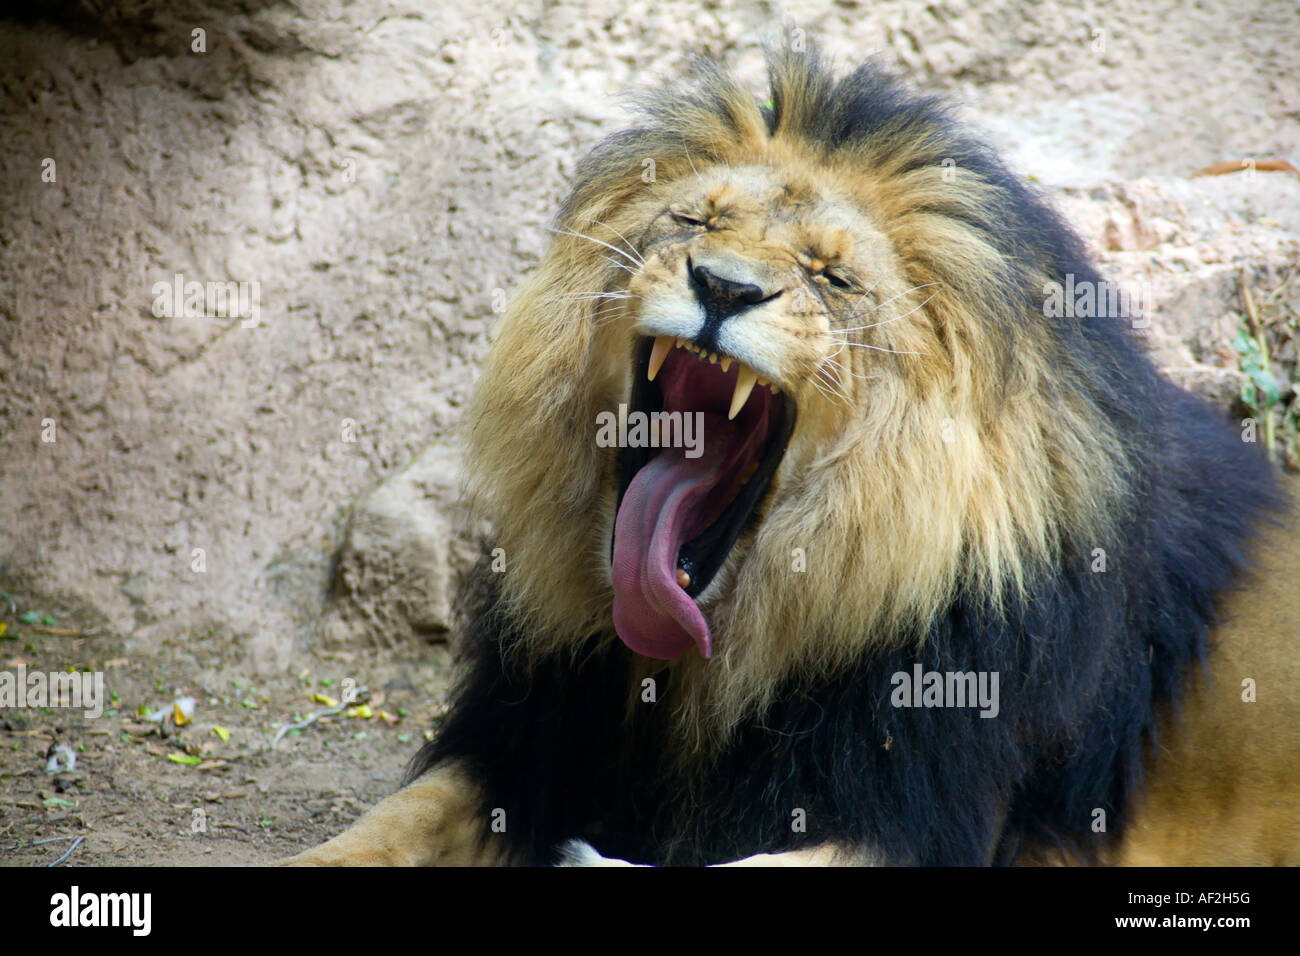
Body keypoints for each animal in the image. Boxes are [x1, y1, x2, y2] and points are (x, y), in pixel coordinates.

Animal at [287, 46, 1300, 867]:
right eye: (695, 223)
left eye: (832, 276)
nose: (724, 288)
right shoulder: (518, 751)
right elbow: (382, 827)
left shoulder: (910, 820)